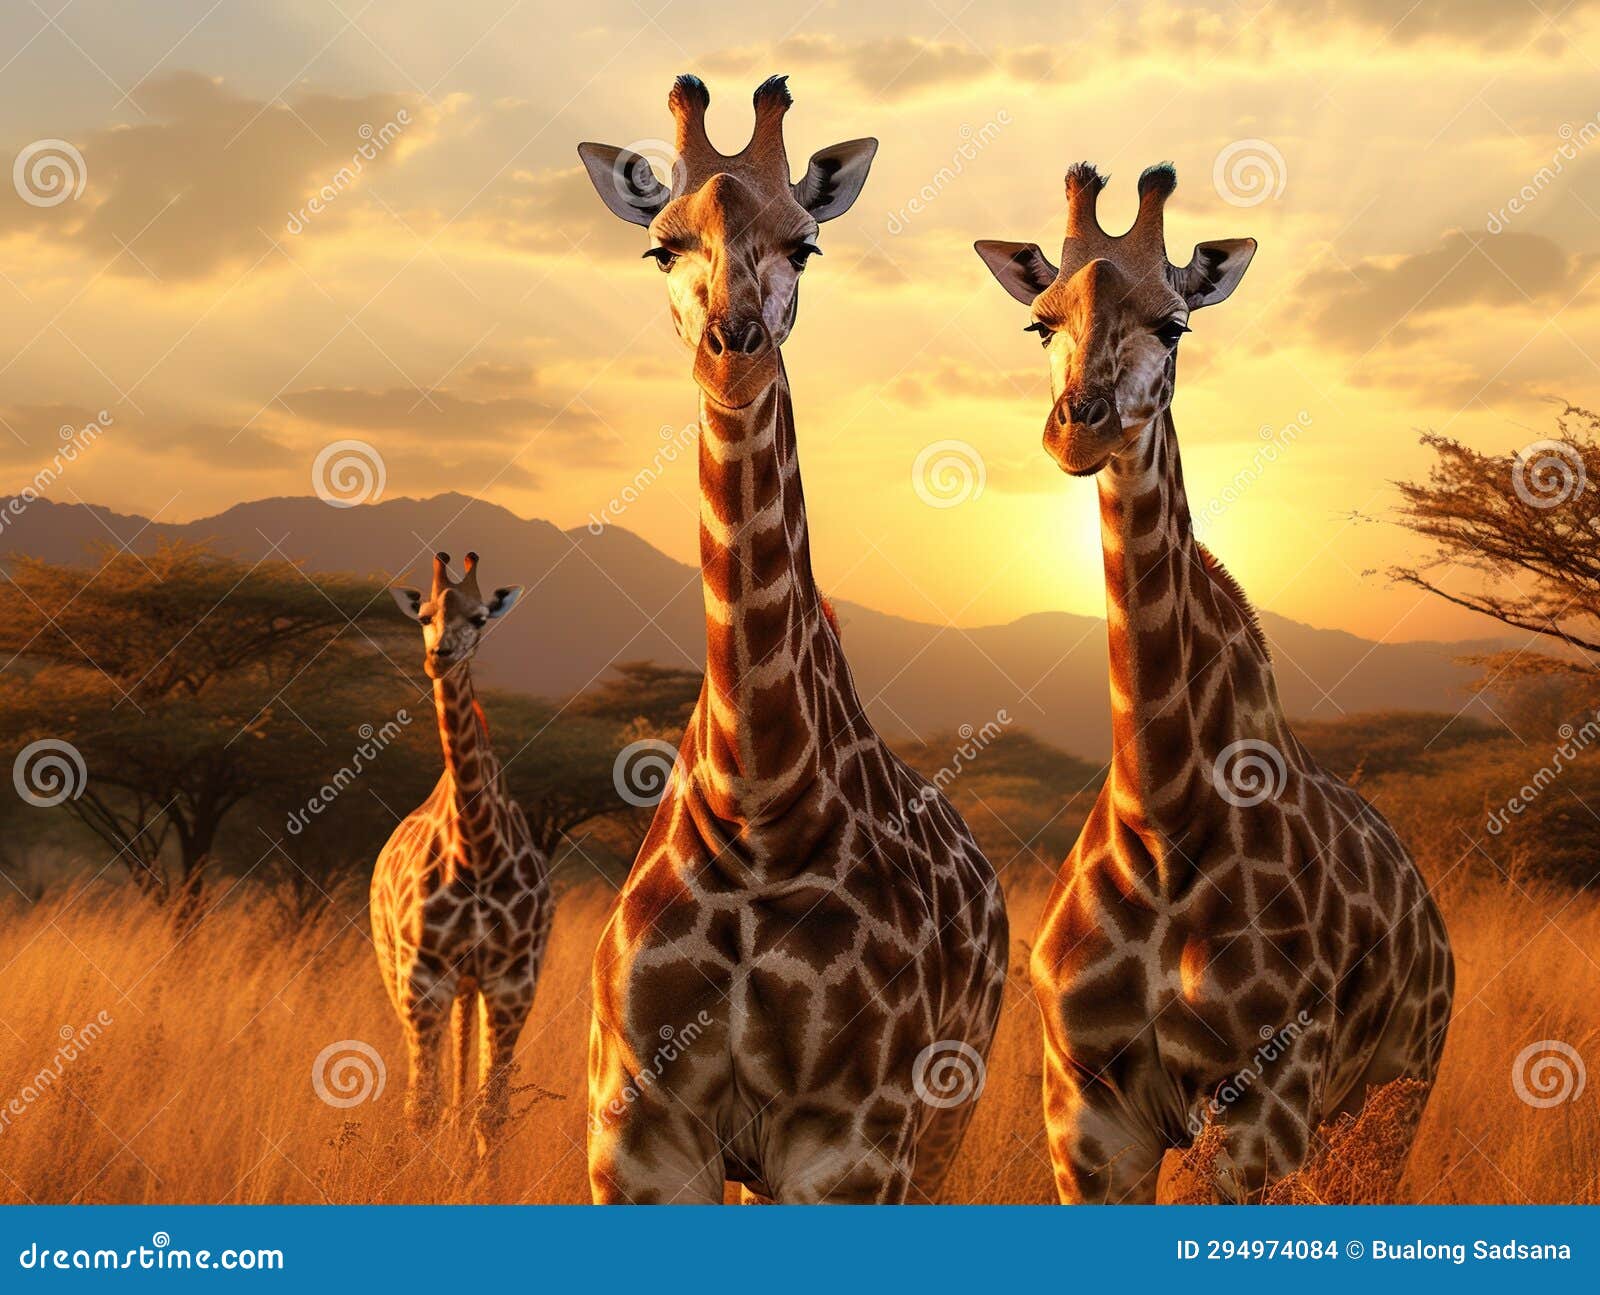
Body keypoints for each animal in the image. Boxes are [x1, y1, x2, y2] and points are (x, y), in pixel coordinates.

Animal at [372, 550, 551, 1158]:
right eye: (425, 616)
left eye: (479, 618)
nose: (439, 657)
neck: (476, 848)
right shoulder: (424, 976)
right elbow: (420, 1110)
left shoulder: (514, 981)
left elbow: (492, 1114)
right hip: (398, 969)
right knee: (440, 1092)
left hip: (473, 985)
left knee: (466, 1091)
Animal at [576, 75, 1009, 1204]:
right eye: (662, 247)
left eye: (805, 245)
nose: (733, 346)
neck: (756, 801)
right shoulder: (637, 1134)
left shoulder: (852, 1143)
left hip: (942, 1131)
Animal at [974, 163, 1454, 1202]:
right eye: (1040, 321)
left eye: (1175, 324)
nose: (1079, 428)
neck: (1160, 812)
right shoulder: (1085, 1111)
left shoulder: (1263, 1103)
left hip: (1395, 1091)